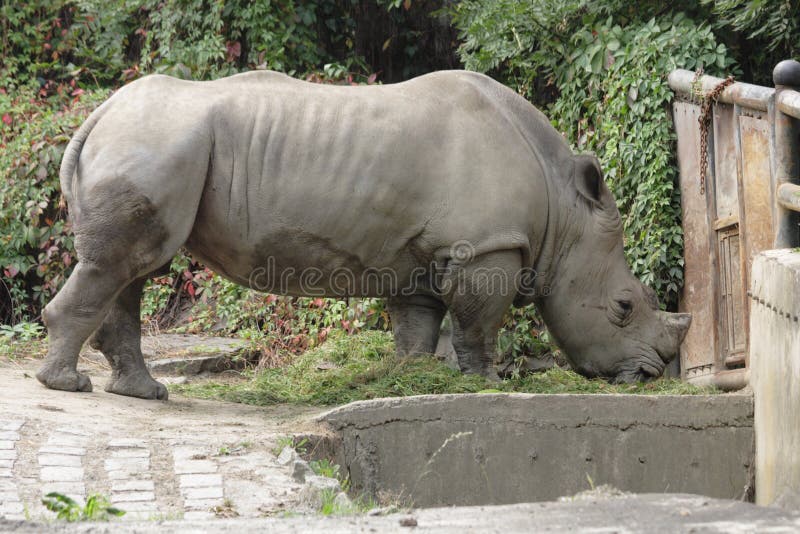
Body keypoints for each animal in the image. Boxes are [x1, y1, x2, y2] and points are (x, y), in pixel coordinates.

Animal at [37, 70, 691, 400]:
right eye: (624, 307)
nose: (652, 374)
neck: (565, 210)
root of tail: (98, 115)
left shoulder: (425, 254)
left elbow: (418, 327)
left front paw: (409, 381)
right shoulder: (486, 246)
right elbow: (478, 323)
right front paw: (485, 385)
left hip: (149, 142)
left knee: (135, 267)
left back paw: (141, 392)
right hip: (153, 141)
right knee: (125, 263)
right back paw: (69, 385)